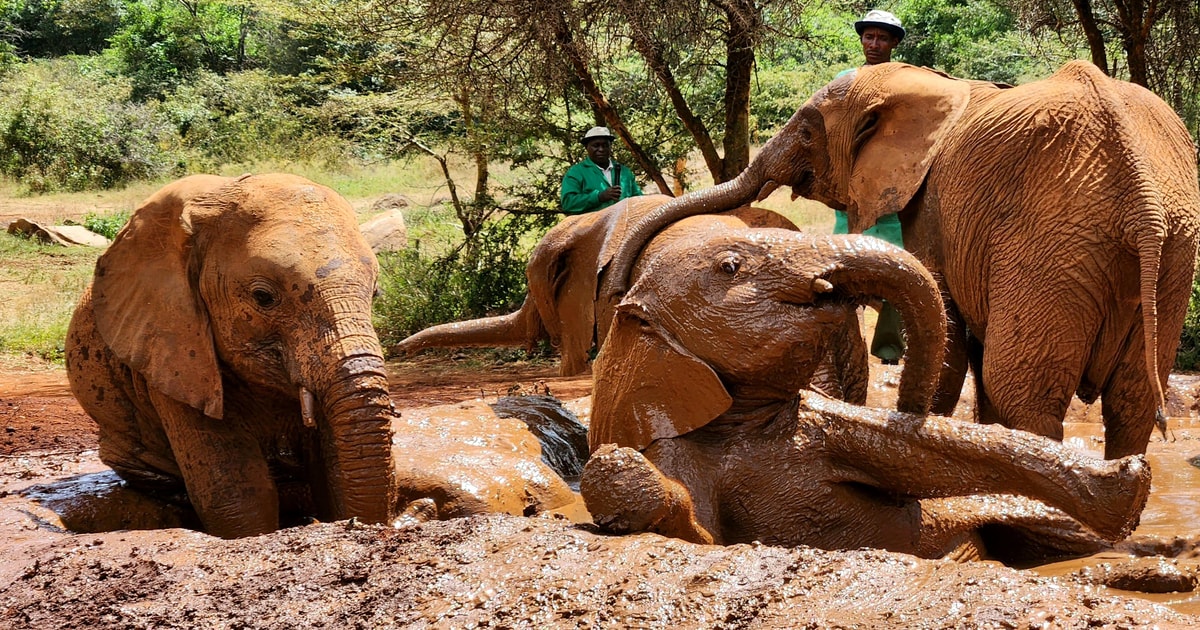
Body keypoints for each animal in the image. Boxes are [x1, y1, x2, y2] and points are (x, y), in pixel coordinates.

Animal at [579, 226, 1152, 560]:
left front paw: (1131, 482)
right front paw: (622, 474)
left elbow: (932, 448)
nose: (910, 399)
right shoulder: (677, 447)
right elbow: (699, 533)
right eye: (731, 267)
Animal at [599, 61, 1200, 459]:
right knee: (1130, 402)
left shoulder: (933, 206)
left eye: (806, 132)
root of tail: (1143, 195)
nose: (615, 292)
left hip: (1055, 239)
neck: (936, 85)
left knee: (1025, 391)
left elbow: (952, 331)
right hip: (1171, 250)